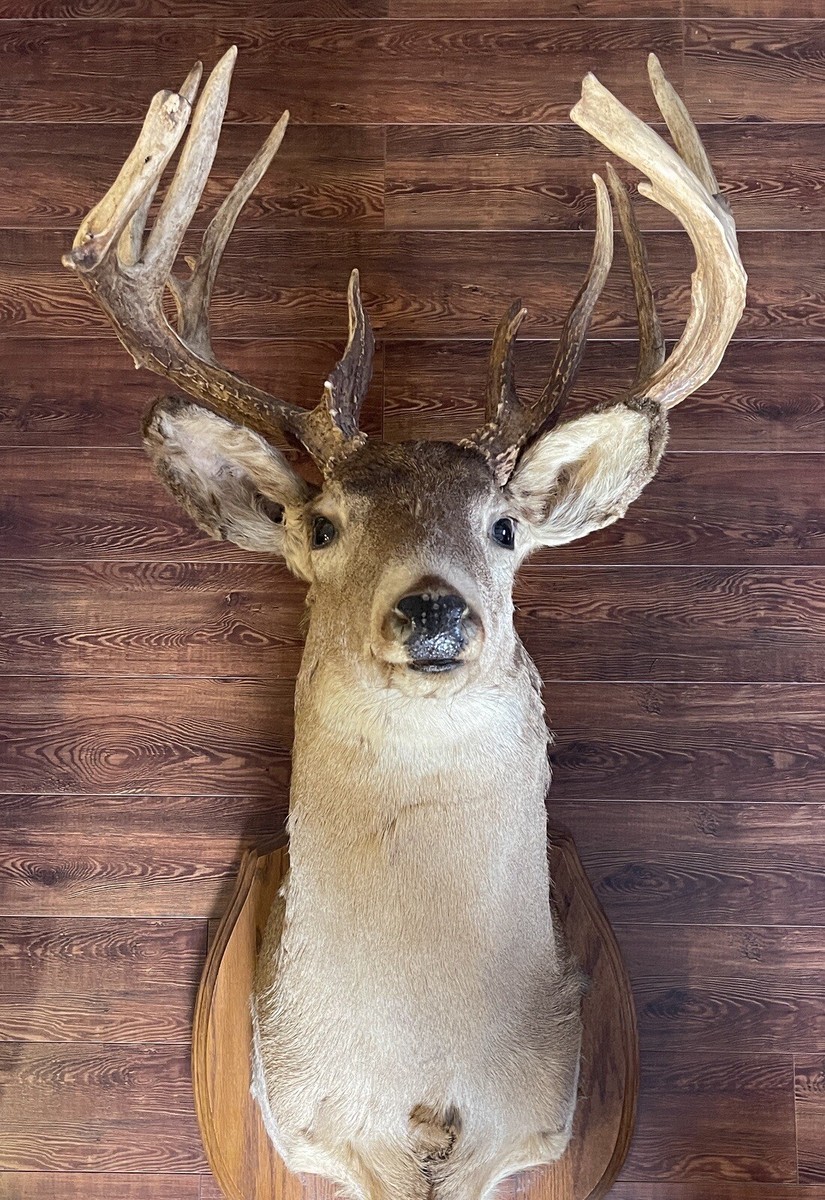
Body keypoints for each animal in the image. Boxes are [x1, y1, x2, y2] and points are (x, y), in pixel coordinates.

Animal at [63, 48, 746, 1200]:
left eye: (506, 526)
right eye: (324, 525)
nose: (433, 607)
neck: (426, 1057)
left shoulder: (528, 1130)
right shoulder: (317, 1129)